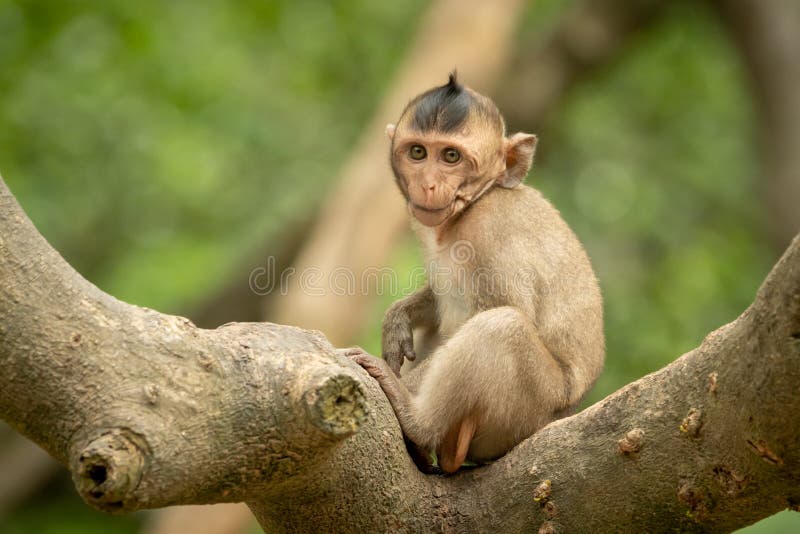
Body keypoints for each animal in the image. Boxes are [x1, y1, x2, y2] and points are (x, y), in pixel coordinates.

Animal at [346, 73, 604, 474]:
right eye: (417, 152)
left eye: (451, 156)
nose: (428, 184)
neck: (475, 204)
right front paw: (397, 319)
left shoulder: (491, 231)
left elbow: (506, 310)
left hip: (525, 412)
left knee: (502, 327)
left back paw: (416, 420)